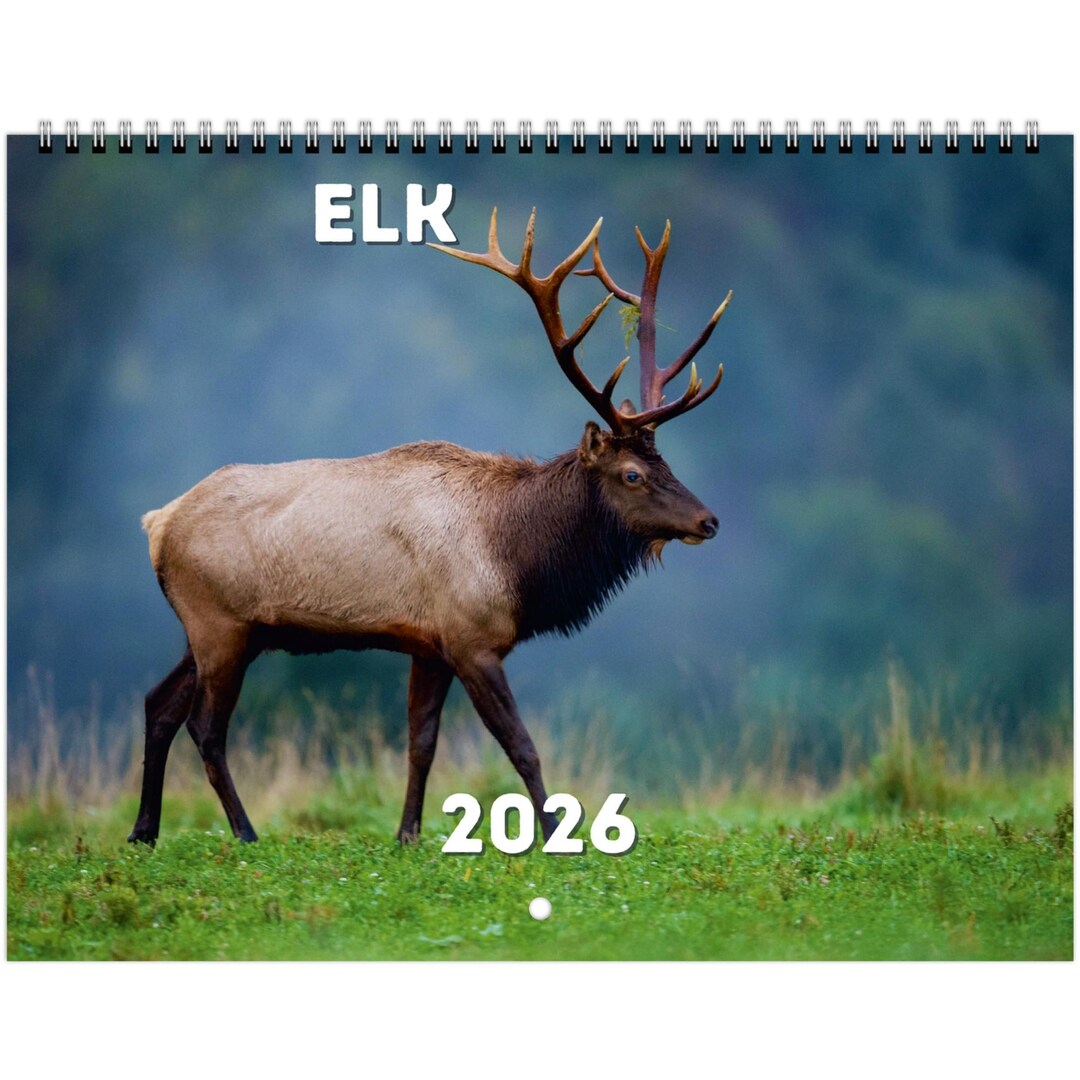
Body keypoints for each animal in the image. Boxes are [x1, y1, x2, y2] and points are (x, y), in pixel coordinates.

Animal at [127, 208, 732, 847]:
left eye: (668, 463)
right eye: (633, 474)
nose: (708, 520)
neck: (516, 557)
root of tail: (157, 524)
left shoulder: (430, 644)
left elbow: (421, 743)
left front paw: (408, 834)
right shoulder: (472, 637)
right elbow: (521, 746)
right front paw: (554, 834)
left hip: (213, 630)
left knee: (158, 705)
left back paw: (144, 830)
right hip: (221, 624)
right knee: (205, 727)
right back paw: (244, 833)